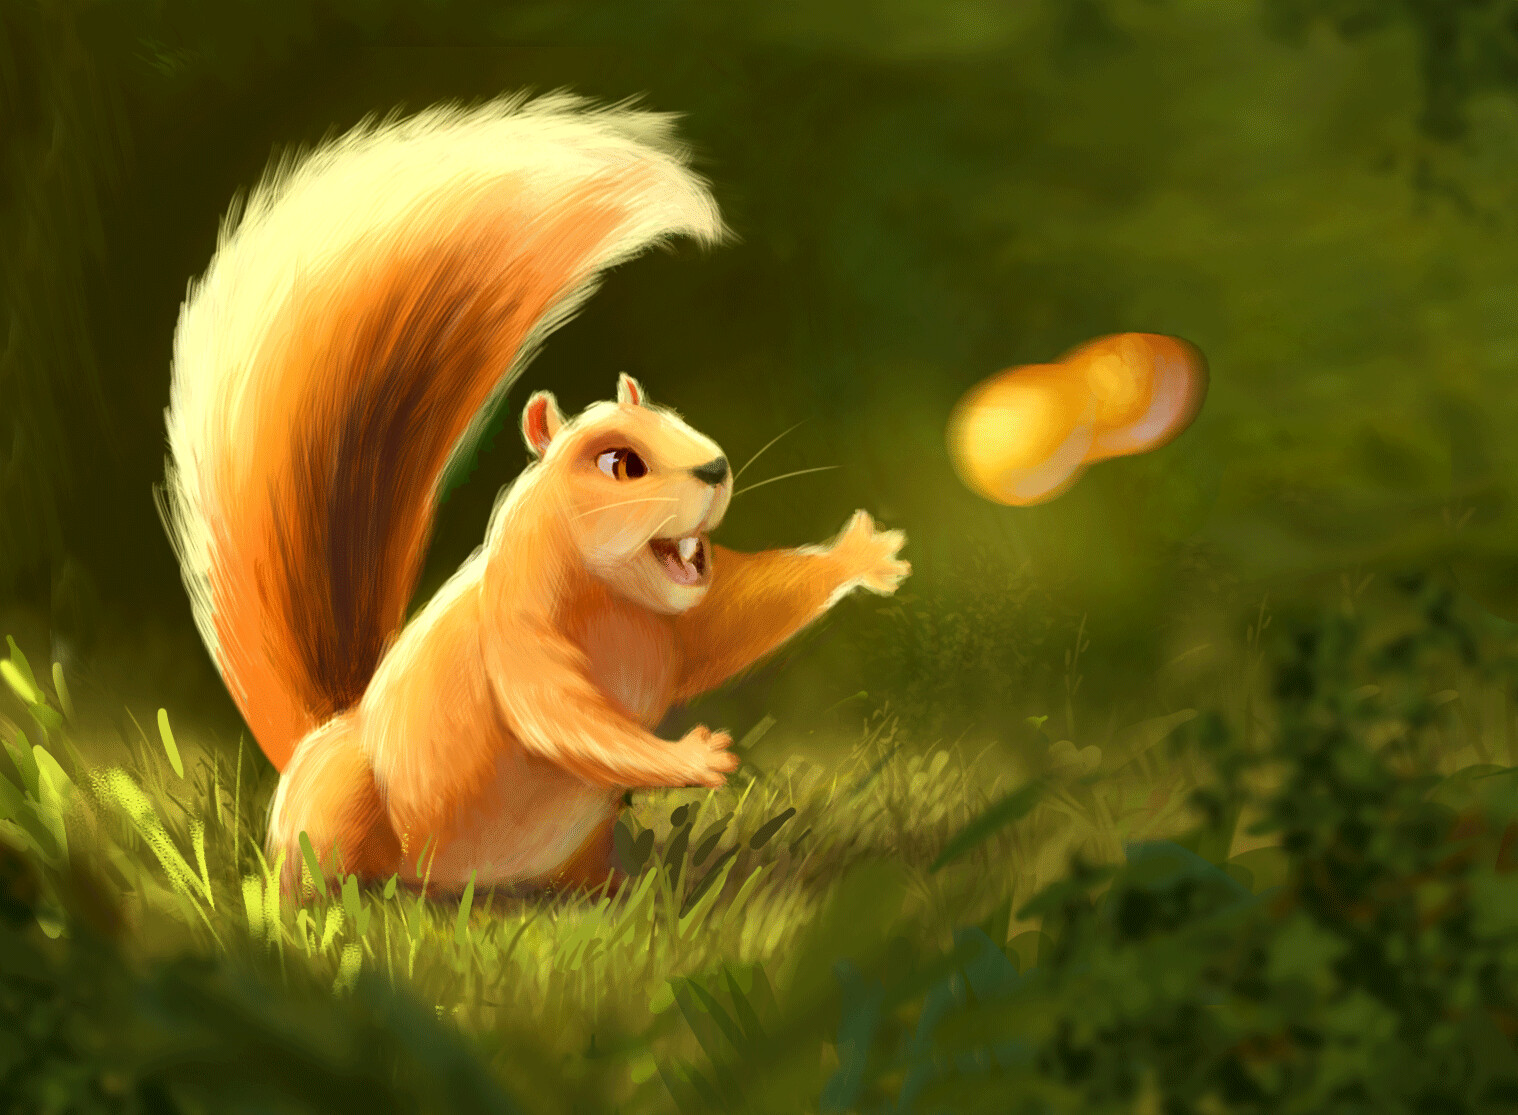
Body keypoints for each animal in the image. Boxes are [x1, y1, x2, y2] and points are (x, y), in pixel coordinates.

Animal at [158, 93, 911, 897]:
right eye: (618, 462)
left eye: (676, 418)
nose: (715, 469)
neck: (617, 603)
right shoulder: (514, 628)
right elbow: (563, 715)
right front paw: (691, 756)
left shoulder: (692, 624)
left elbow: (746, 614)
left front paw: (859, 555)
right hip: (339, 804)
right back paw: (322, 903)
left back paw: (615, 892)